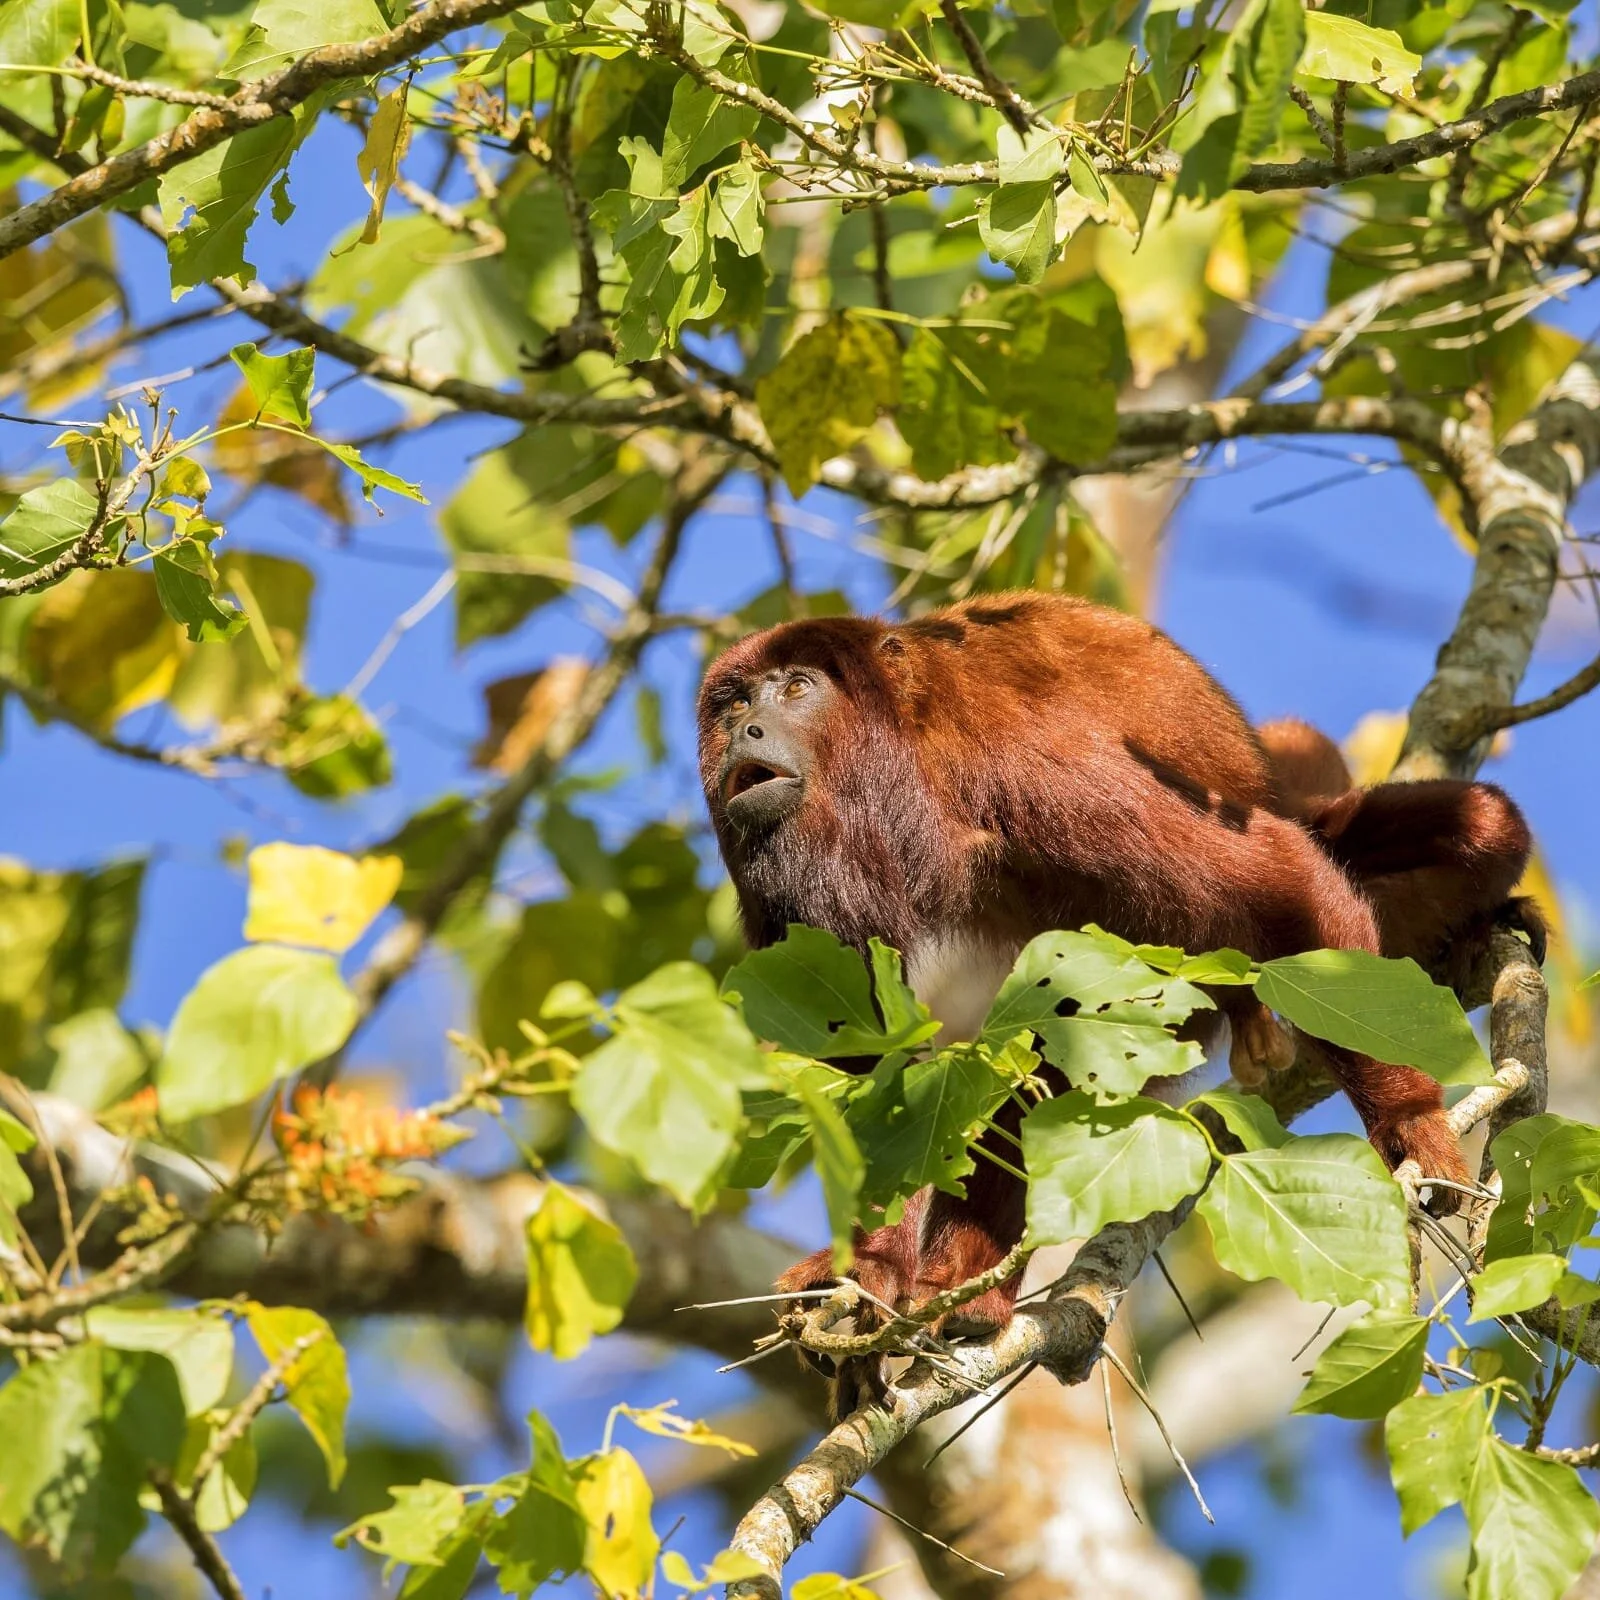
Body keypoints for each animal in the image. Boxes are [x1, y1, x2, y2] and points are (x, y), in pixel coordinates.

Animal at [696, 593, 1536, 1347]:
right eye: (734, 703)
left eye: (797, 688)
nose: (748, 729)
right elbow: (874, 1068)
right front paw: (867, 1268)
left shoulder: (1028, 764)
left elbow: (1281, 878)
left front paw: (1409, 1124)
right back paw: (965, 1290)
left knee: (1480, 826)